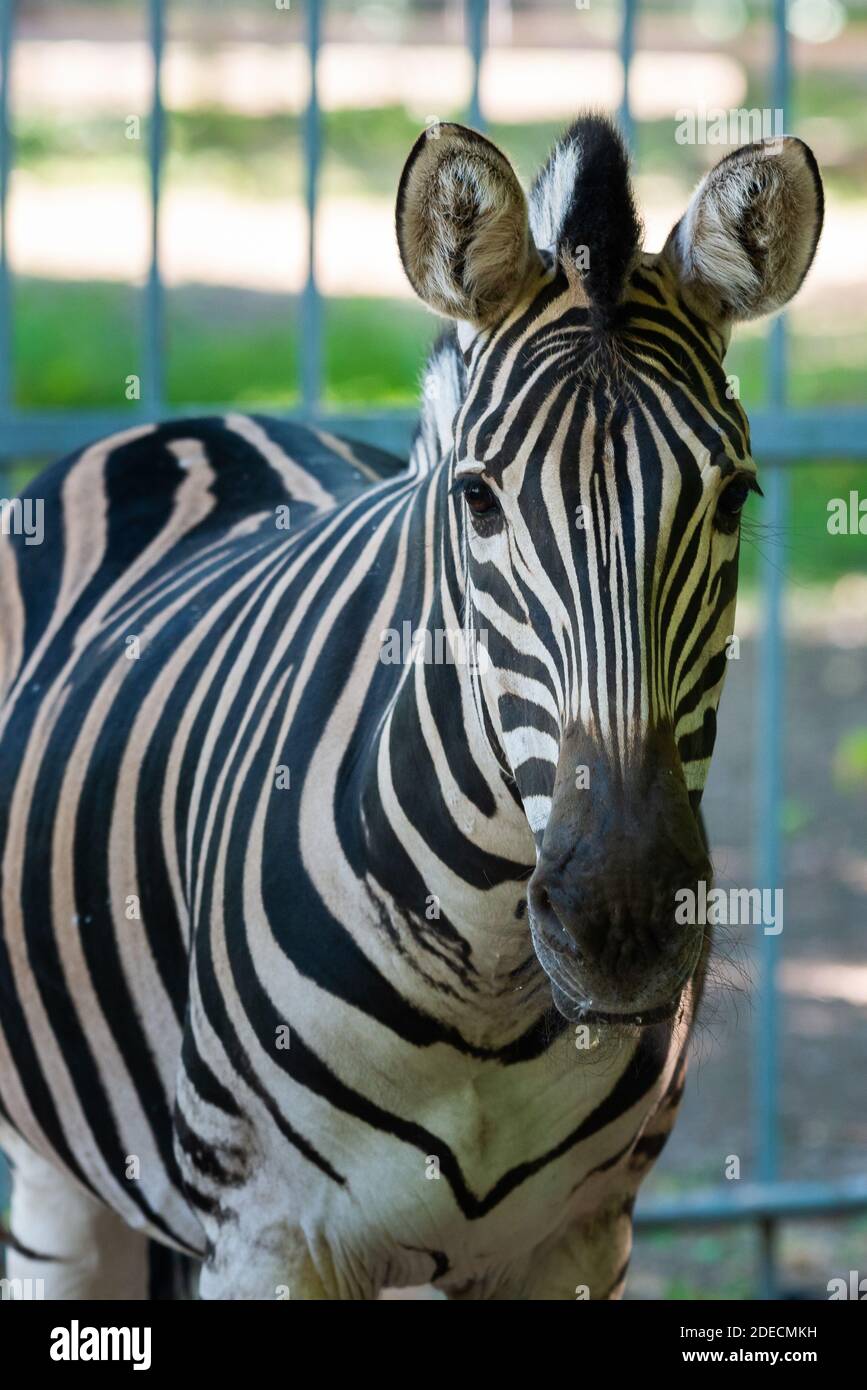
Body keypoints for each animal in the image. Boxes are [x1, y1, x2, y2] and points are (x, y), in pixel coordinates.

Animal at [0, 116, 822, 1300]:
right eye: (476, 499)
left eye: (732, 498)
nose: (620, 920)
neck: (487, 985)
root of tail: (196, 423)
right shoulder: (265, 1239)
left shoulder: (577, 1238)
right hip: (53, 1178)